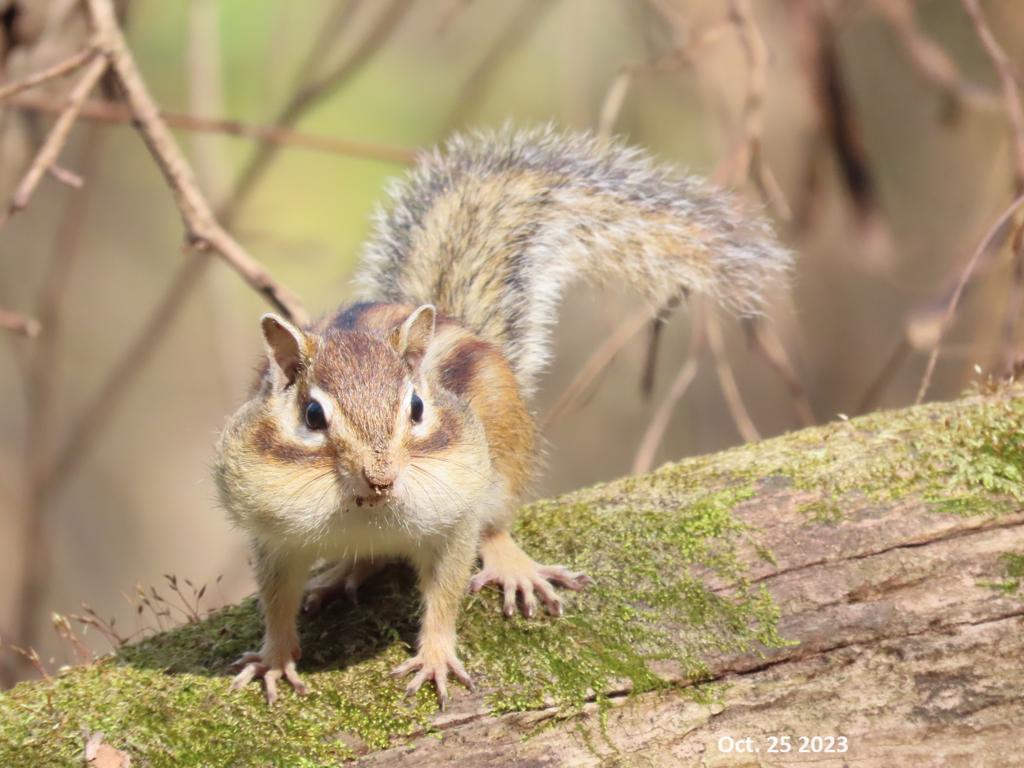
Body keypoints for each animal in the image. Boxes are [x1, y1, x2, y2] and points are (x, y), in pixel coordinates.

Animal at [213, 126, 791, 709]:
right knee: (366, 559)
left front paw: (436, 654)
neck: (362, 509)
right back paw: (339, 575)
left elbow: (446, 591)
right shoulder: (272, 535)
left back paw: (513, 567)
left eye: (417, 408)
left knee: (495, 525)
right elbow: (275, 601)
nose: (381, 477)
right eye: (312, 415)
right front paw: (273, 658)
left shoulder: (451, 520)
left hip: (504, 460)